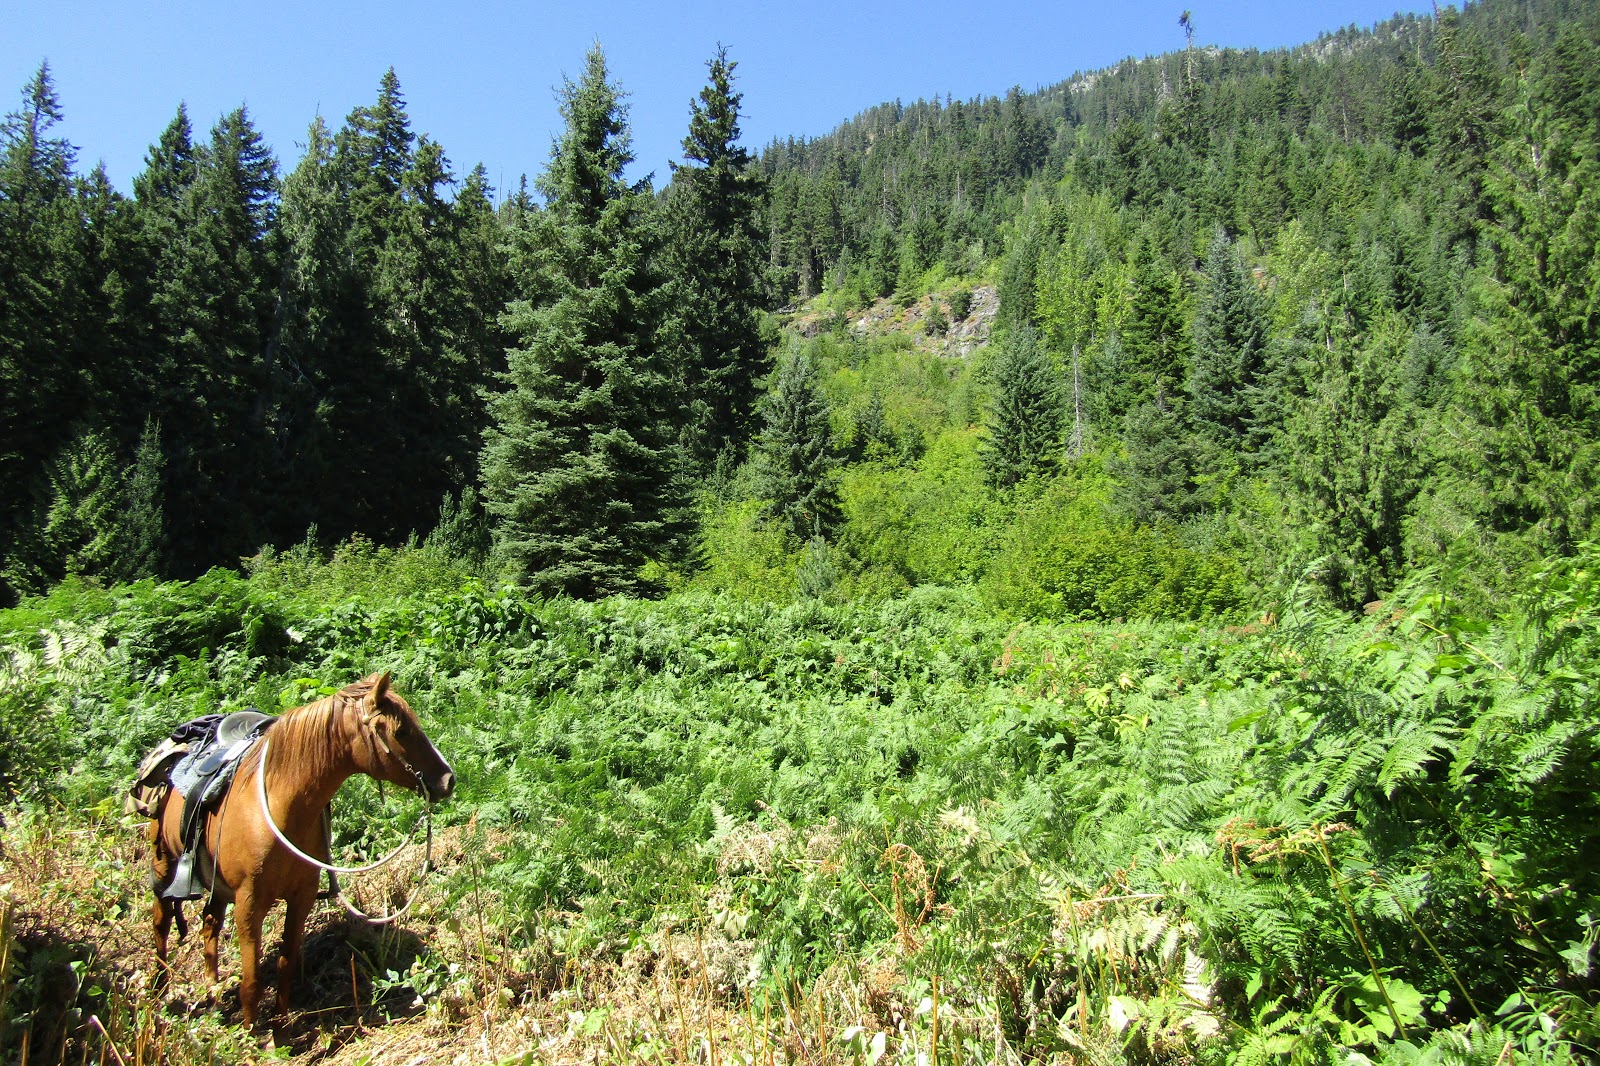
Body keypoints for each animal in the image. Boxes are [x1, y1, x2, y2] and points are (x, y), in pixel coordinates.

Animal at [144, 671, 455, 1028]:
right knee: (161, 924)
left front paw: (280, 1026)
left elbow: (286, 963)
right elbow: (252, 981)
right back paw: (158, 989)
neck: (280, 809)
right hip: (164, 866)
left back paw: (211, 987)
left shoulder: (301, 896)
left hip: (213, 882)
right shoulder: (249, 904)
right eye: (402, 731)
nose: (448, 780)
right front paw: (250, 1034)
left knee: (210, 923)